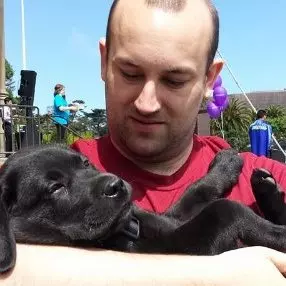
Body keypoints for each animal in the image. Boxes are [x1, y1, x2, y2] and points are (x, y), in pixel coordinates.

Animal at [0, 145, 284, 272]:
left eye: (86, 163)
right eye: (56, 188)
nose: (116, 184)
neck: (130, 227)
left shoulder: (173, 218)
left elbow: (197, 190)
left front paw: (225, 165)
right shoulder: (196, 246)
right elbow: (225, 209)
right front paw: (280, 236)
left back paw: (265, 187)